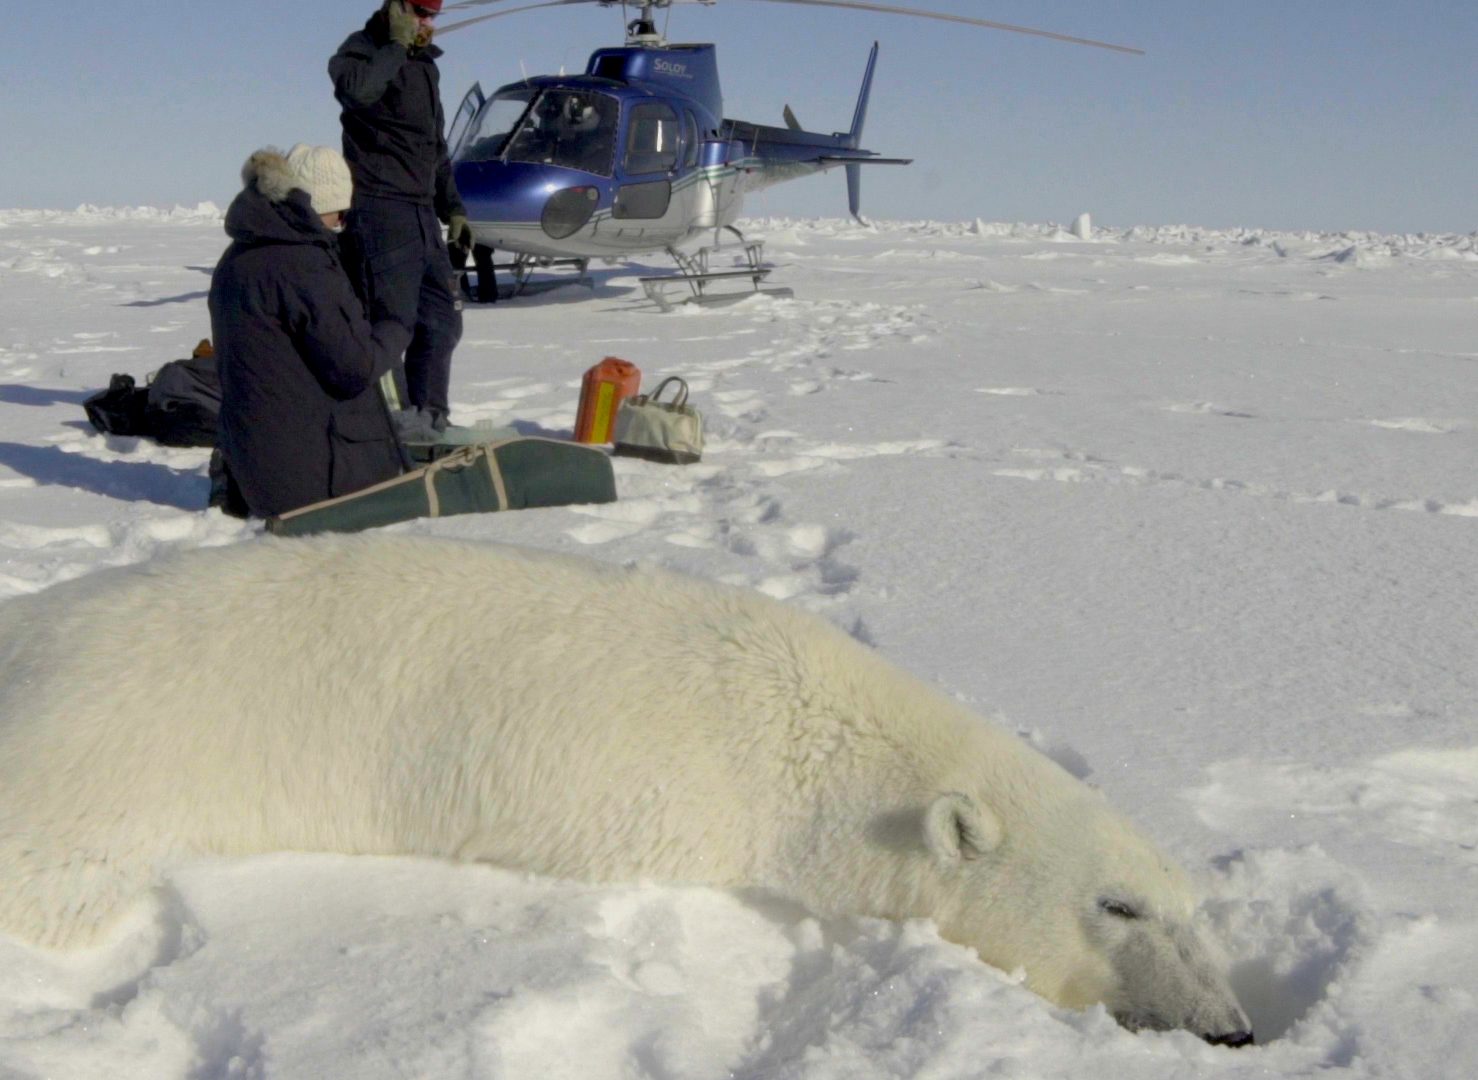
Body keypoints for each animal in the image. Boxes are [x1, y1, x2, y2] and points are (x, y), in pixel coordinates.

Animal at [0, 534, 1251, 1045]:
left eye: (1191, 909)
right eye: (1116, 907)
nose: (1231, 1029)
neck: (817, 735)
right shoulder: (669, 800)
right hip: (93, 763)